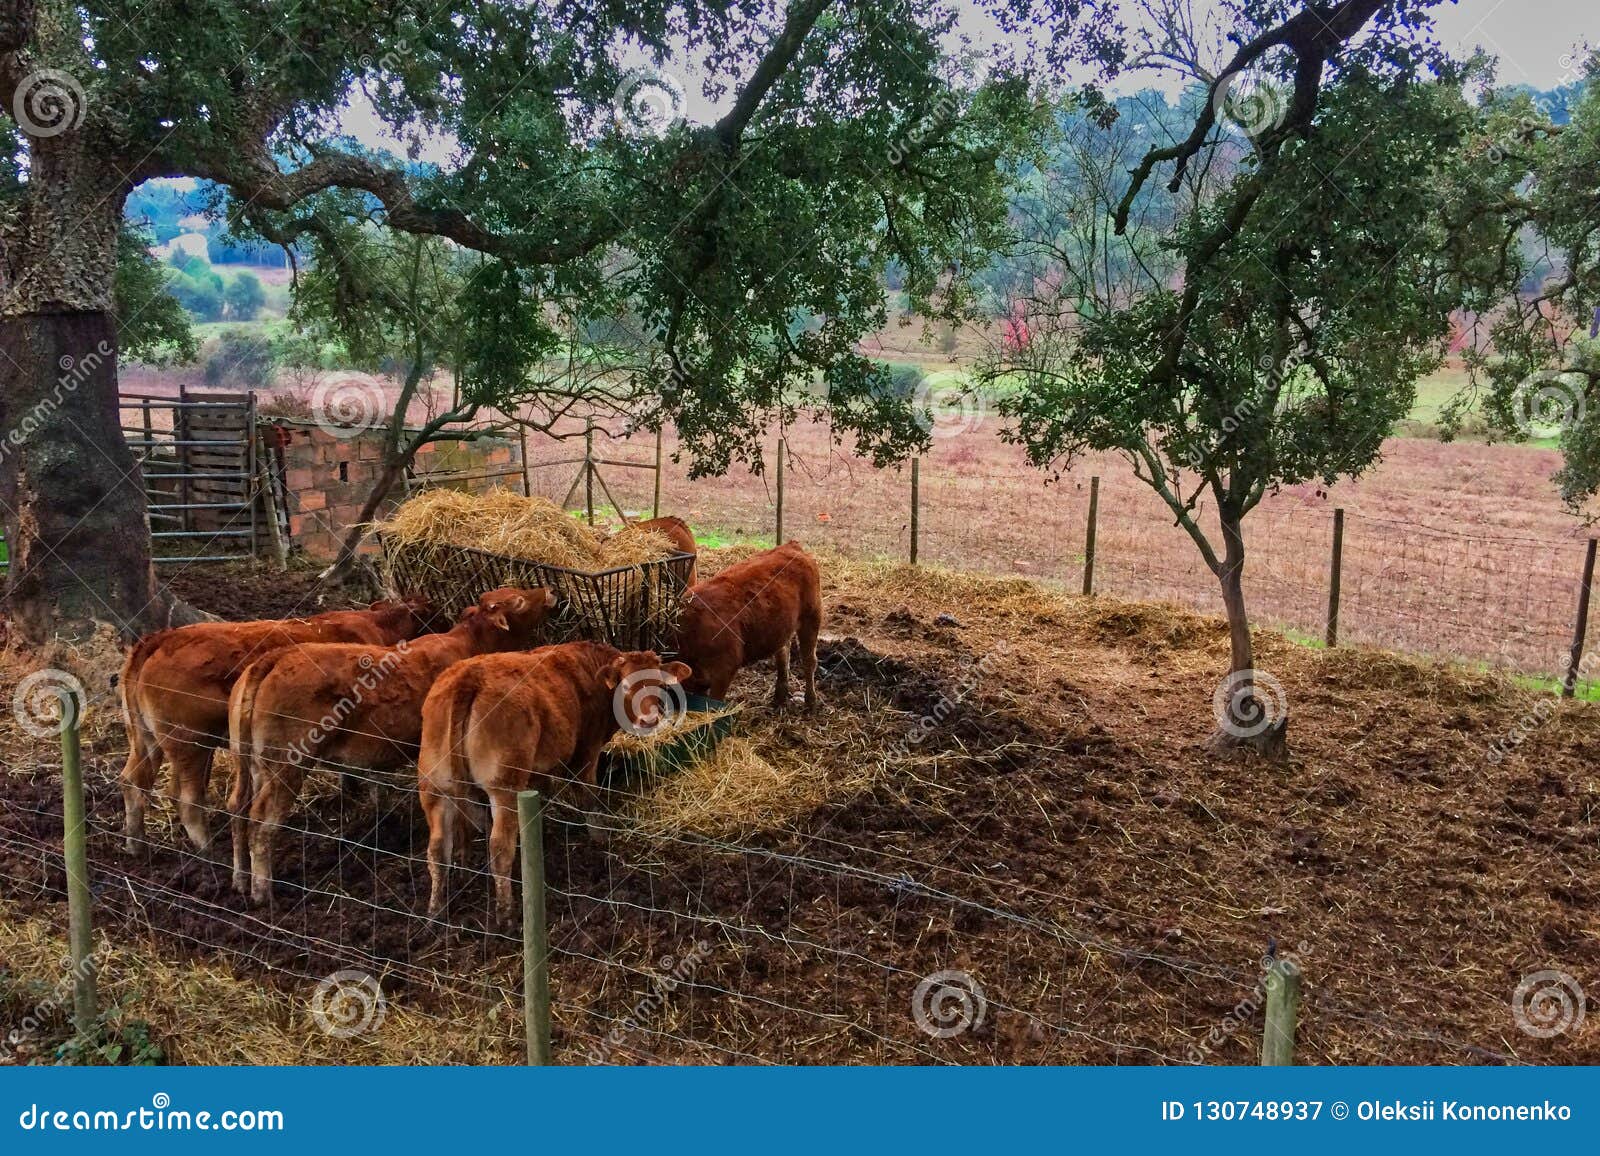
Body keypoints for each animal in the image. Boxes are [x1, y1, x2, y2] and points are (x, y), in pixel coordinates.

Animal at [118, 597, 434, 853]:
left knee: (133, 780)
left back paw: (135, 843)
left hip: (146, 739)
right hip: (190, 744)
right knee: (186, 798)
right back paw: (207, 850)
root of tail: (159, 639)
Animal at [228, 587, 556, 907]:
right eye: (519, 600)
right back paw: (262, 892)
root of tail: (274, 659)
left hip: (253, 765)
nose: (549, 590)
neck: (467, 644)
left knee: (238, 809)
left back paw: (240, 880)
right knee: (260, 821)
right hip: (286, 766)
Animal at [418, 642, 690, 922]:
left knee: (437, 849)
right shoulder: (586, 751)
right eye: (626, 685)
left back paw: (435, 910)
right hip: (504, 786)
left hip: (434, 786)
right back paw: (505, 914)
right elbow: (588, 797)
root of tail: (468, 677)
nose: (650, 720)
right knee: (500, 848)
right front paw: (599, 838)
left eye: (660, 684)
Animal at [672, 540, 821, 710]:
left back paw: (811, 701)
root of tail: (791, 546)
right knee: (783, 654)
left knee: (809, 660)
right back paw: (779, 696)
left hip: (812, 616)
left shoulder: (725, 669)